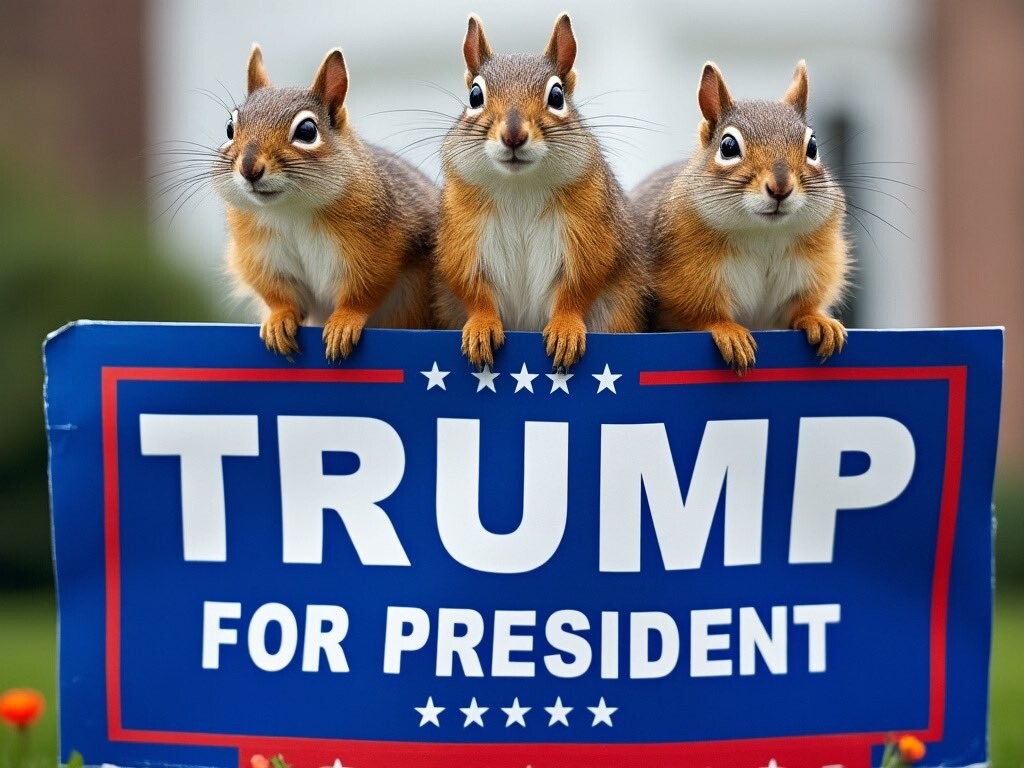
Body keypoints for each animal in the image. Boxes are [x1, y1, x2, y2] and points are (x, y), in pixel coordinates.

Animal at [212, 45, 438, 360]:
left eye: (307, 131)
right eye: (230, 128)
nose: (249, 168)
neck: (290, 210)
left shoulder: (377, 249)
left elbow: (362, 293)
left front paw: (344, 322)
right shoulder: (262, 255)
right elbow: (277, 294)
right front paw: (278, 320)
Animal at [433, 13, 649, 370]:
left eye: (557, 96)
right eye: (475, 96)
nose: (513, 135)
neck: (519, 186)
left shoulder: (590, 234)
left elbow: (578, 287)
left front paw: (565, 328)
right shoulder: (463, 236)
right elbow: (472, 288)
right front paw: (481, 325)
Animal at [632, 61, 849, 373]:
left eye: (813, 148)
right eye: (728, 147)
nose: (780, 188)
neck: (764, 234)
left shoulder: (813, 268)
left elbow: (802, 305)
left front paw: (818, 319)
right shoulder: (687, 280)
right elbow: (702, 314)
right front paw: (728, 332)